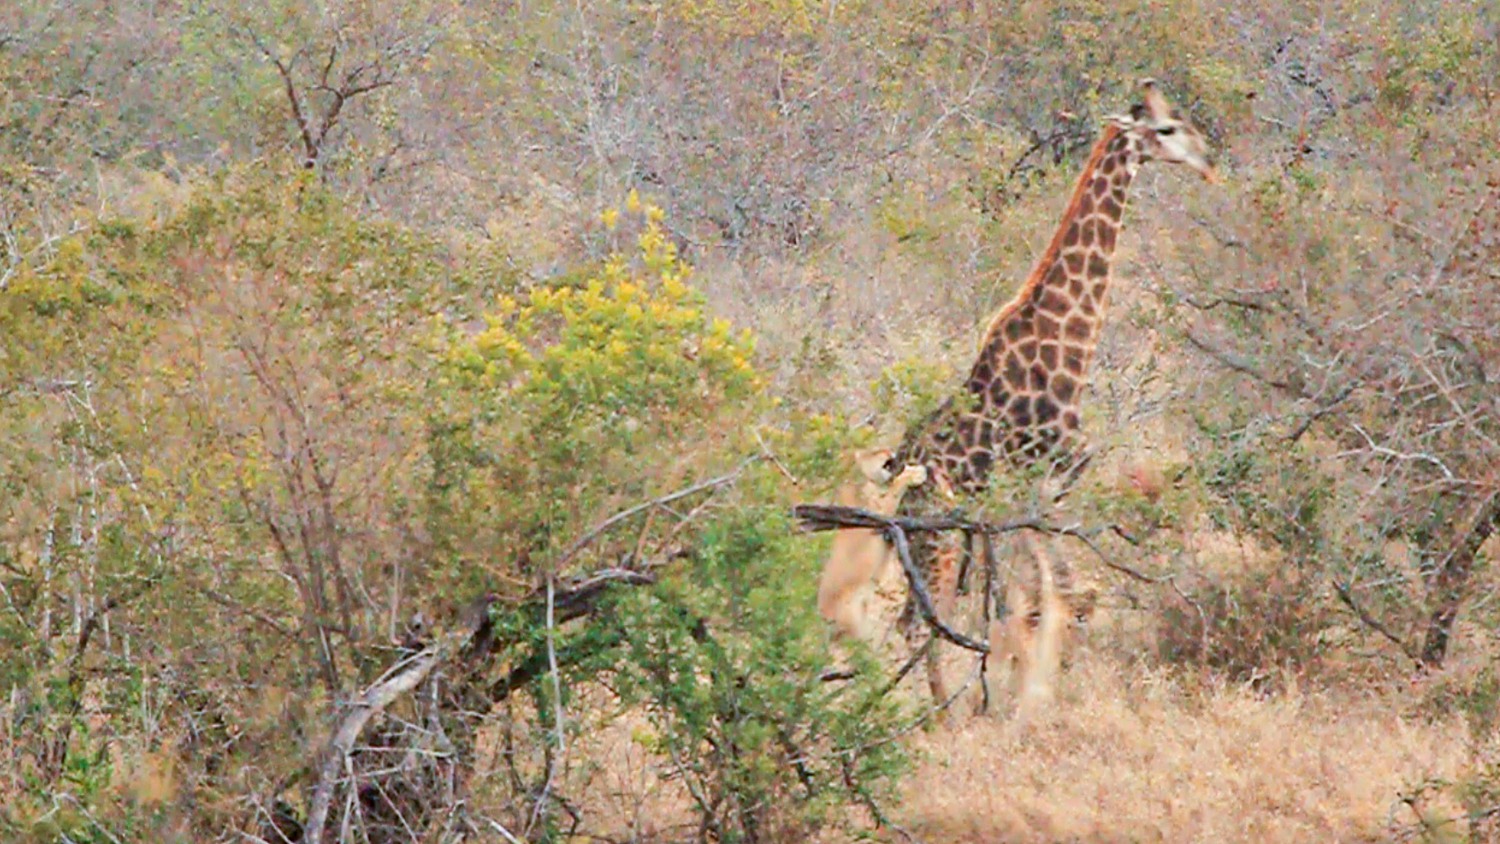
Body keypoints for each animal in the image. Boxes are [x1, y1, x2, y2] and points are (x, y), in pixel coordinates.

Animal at [885, 78, 1217, 713]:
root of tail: (897, 489)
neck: (1067, 347)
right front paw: (1039, 692)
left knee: (917, 622)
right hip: (937, 538)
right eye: (1166, 129)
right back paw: (940, 717)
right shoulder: (1041, 483)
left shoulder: (1037, 495)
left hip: (934, 540)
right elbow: (1053, 597)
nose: (1208, 161)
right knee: (923, 625)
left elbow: (1037, 599)